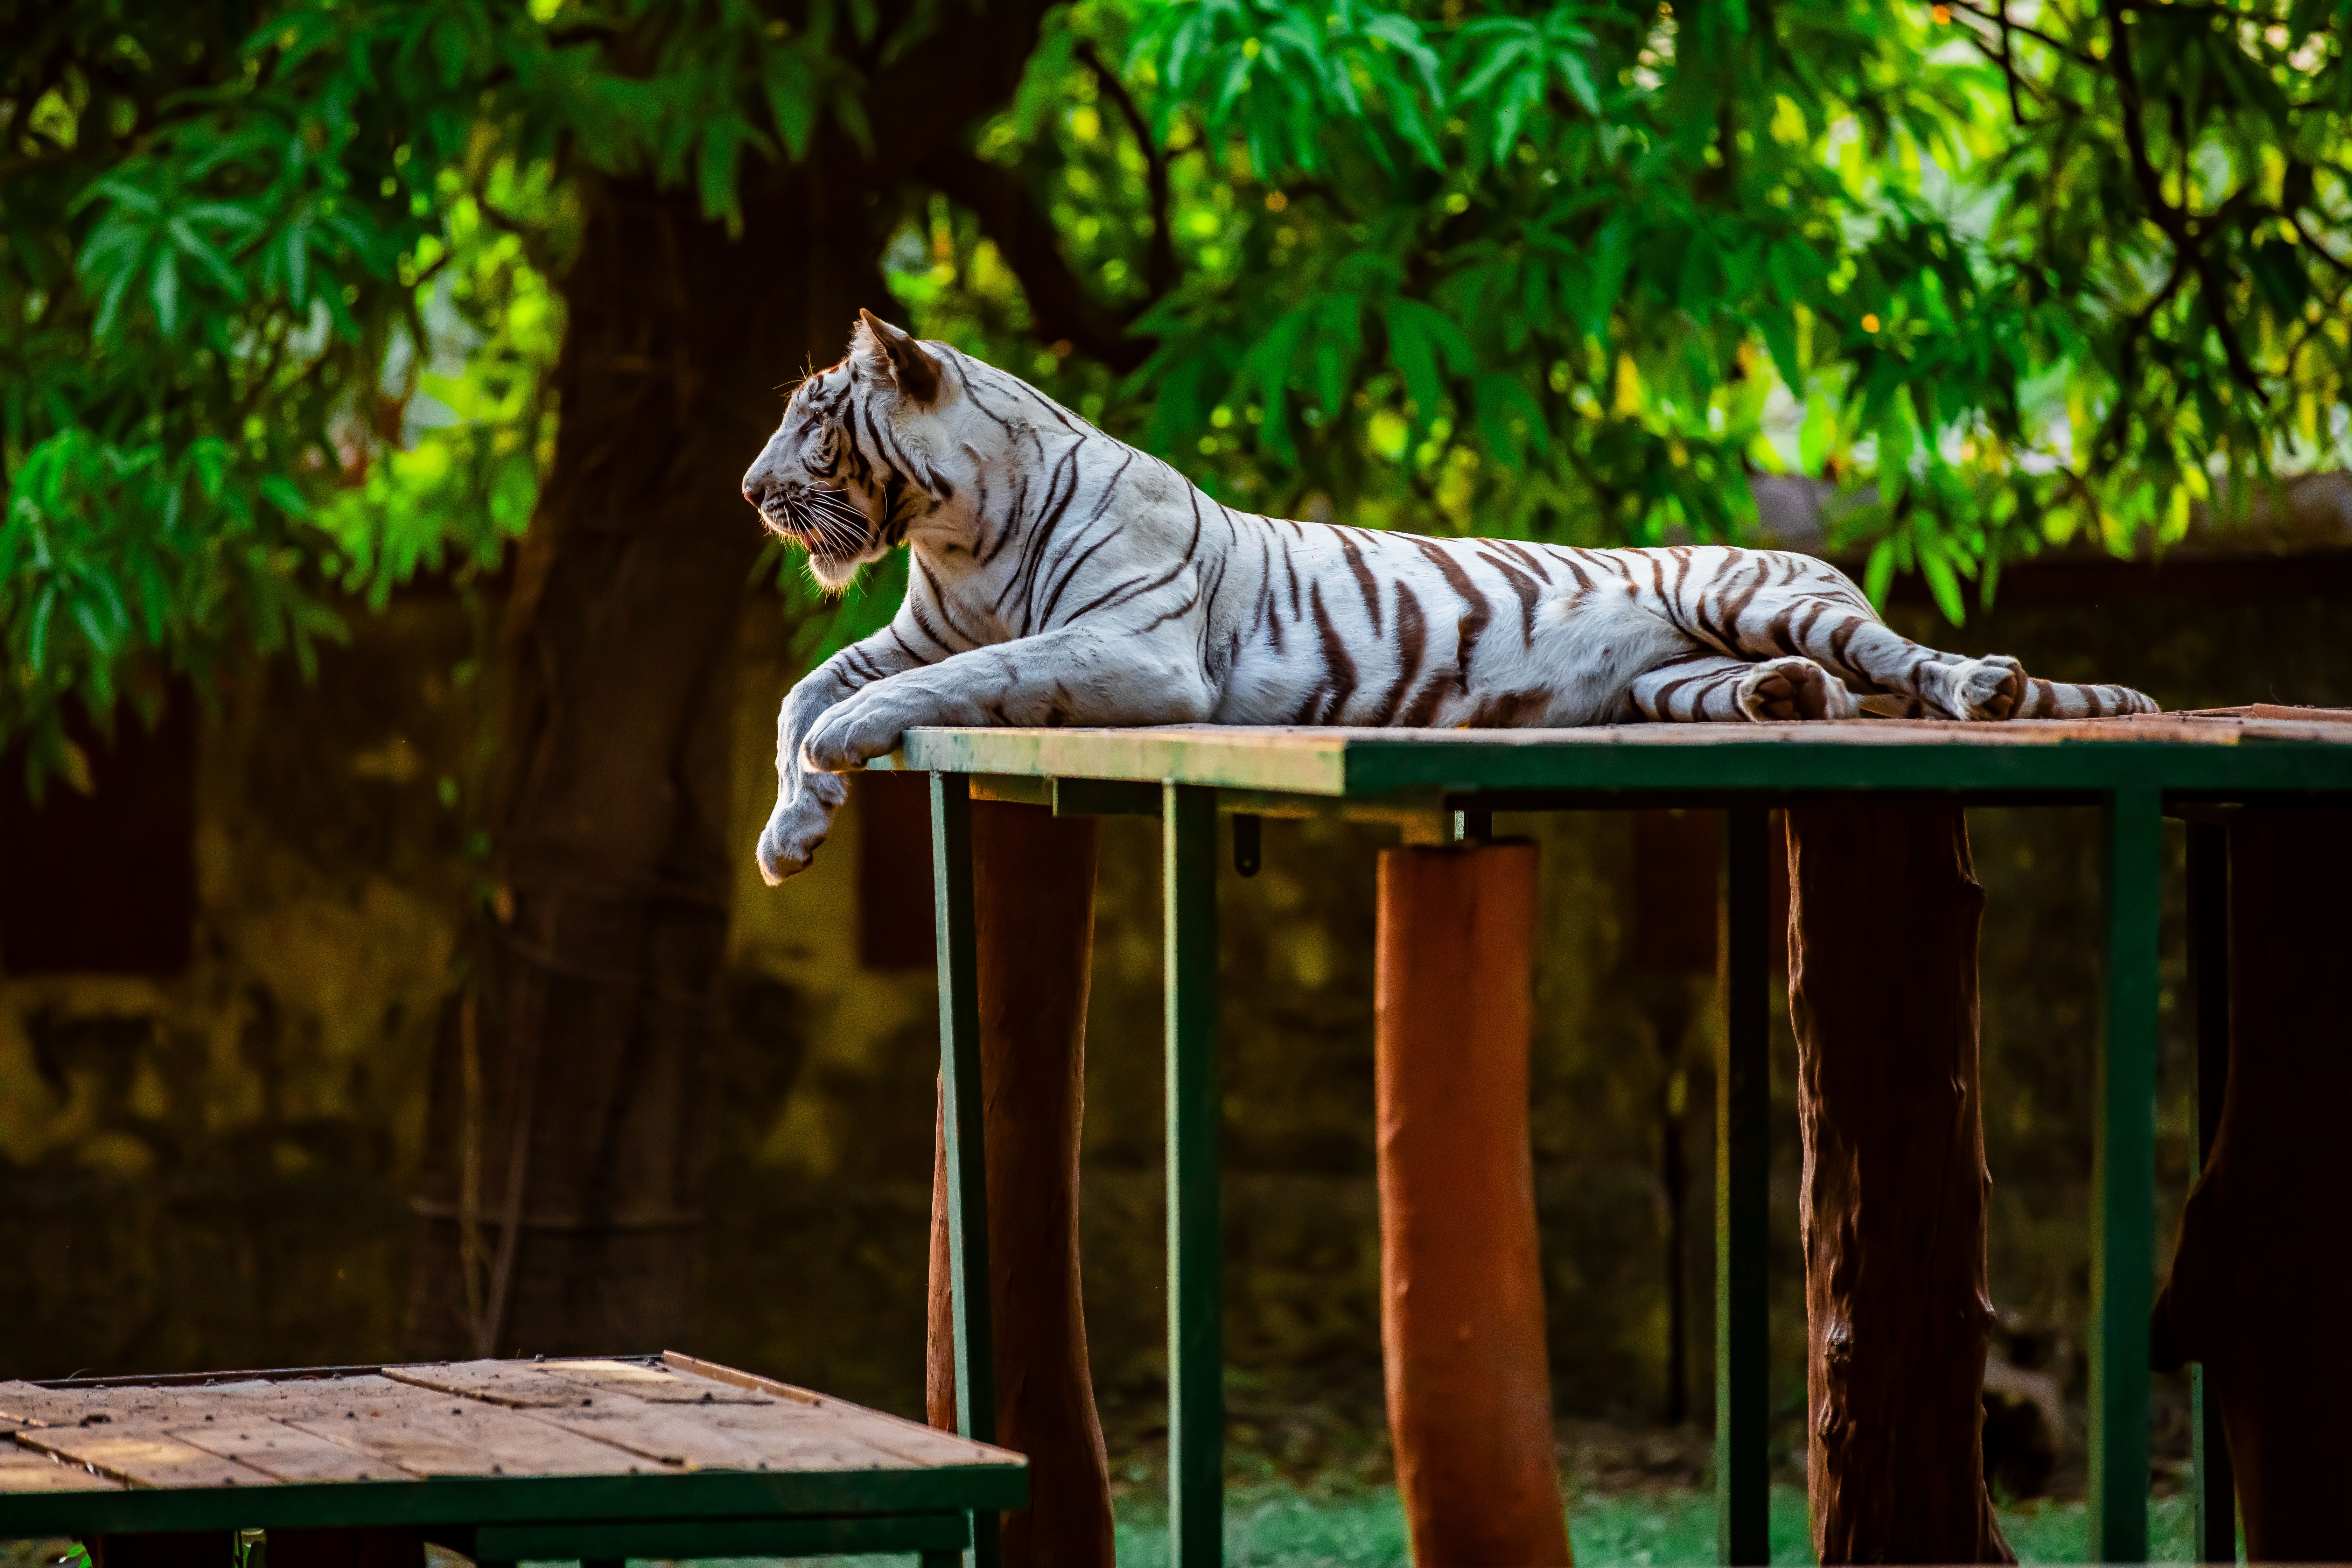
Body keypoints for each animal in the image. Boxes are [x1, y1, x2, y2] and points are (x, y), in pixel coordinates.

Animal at [740, 310, 2156, 883]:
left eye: (812, 422)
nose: (749, 490)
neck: (954, 532)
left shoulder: (1136, 652)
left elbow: (960, 677)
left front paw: (848, 746)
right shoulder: (918, 624)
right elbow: (797, 692)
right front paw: (789, 830)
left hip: (1764, 589)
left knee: (1894, 656)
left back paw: (1975, 685)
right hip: (1673, 677)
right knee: (1812, 692)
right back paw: (1786, 700)